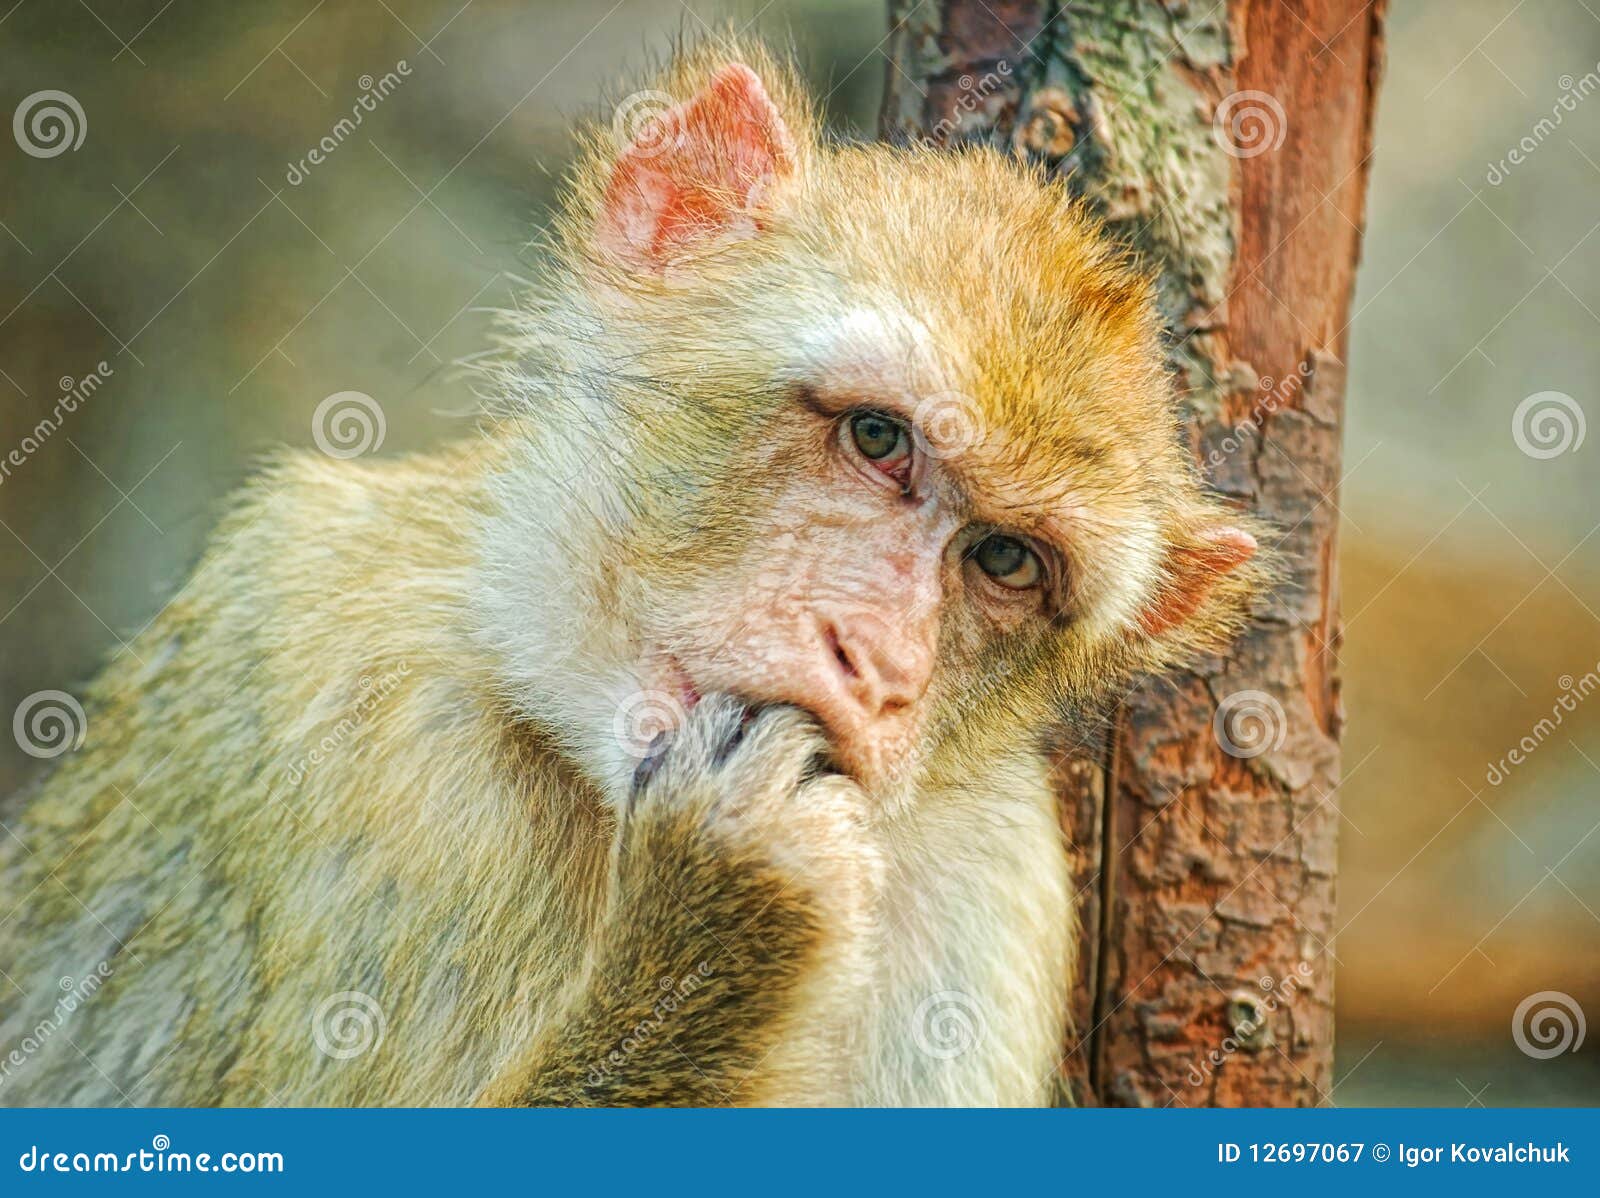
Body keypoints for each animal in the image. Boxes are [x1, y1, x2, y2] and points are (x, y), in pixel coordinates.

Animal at [0, 38, 1264, 1107]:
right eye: (877, 438)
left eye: (1004, 559)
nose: (875, 663)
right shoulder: (355, 701)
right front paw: (729, 910)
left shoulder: (987, 882)